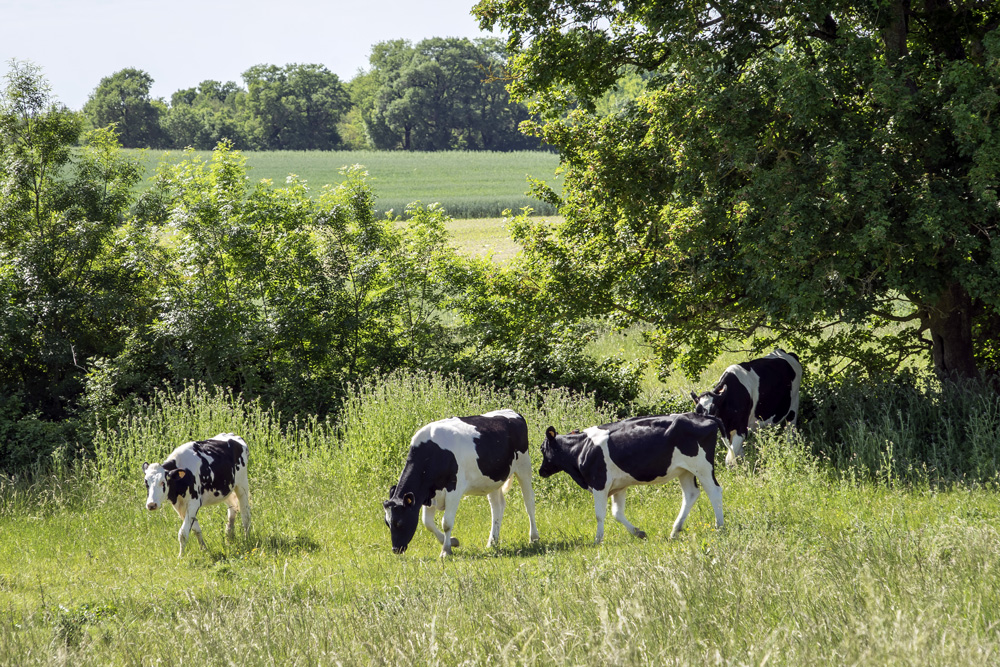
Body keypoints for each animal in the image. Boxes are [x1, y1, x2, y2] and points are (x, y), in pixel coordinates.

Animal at [383, 409, 540, 557]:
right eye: (387, 523)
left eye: (399, 522)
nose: (395, 549)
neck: (432, 454)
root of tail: (512, 412)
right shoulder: (428, 493)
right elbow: (427, 523)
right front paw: (452, 541)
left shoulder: (454, 489)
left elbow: (446, 522)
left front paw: (446, 550)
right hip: (493, 479)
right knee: (497, 507)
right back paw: (492, 542)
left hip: (524, 467)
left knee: (529, 503)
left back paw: (534, 538)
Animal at [539, 413, 725, 544]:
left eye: (542, 449)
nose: (541, 471)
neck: (581, 448)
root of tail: (704, 416)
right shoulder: (619, 486)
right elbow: (617, 513)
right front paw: (639, 533)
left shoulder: (599, 483)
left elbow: (599, 514)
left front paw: (598, 540)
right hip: (684, 471)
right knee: (691, 494)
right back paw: (674, 531)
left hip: (702, 466)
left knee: (714, 491)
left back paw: (719, 527)